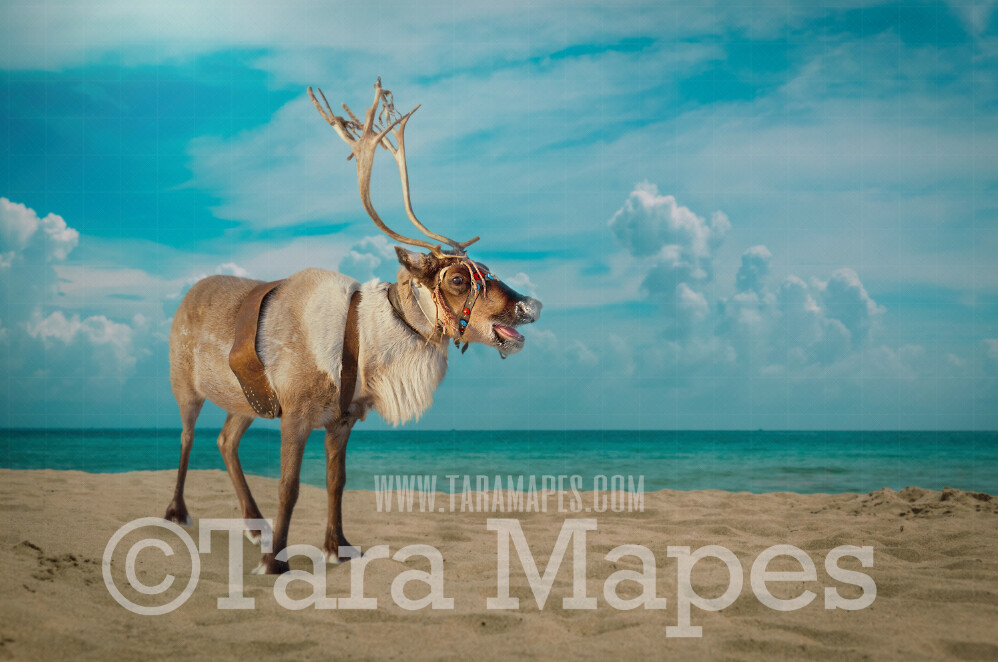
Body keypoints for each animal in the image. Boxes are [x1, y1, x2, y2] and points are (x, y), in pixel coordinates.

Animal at [164, 79, 542, 574]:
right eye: (458, 279)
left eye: (484, 270)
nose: (529, 305)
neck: (363, 345)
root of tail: (188, 293)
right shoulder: (296, 414)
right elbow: (289, 486)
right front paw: (275, 561)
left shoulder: (341, 421)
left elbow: (336, 482)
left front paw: (337, 546)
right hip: (184, 384)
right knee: (188, 435)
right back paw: (179, 512)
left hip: (246, 401)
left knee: (226, 441)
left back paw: (253, 525)